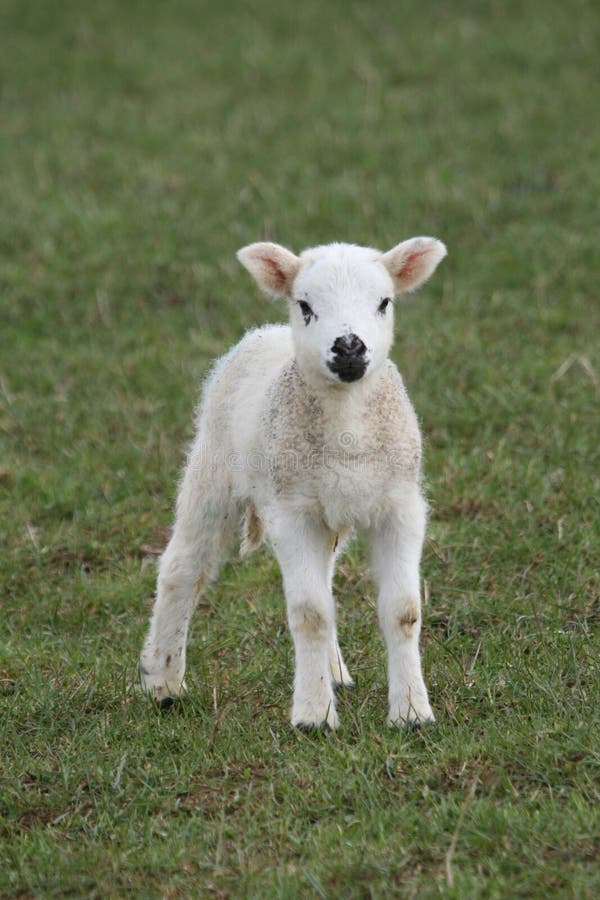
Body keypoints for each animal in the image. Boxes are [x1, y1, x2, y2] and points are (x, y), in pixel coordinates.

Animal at [139, 237, 447, 729]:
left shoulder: (399, 507)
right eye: (305, 305)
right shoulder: (291, 513)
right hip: (213, 470)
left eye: (384, 302)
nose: (348, 348)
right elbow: (310, 614)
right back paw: (163, 681)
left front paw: (412, 712)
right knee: (182, 569)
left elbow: (403, 611)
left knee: (324, 576)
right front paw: (314, 715)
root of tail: (266, 331)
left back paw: (334, 671)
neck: (348, 424)